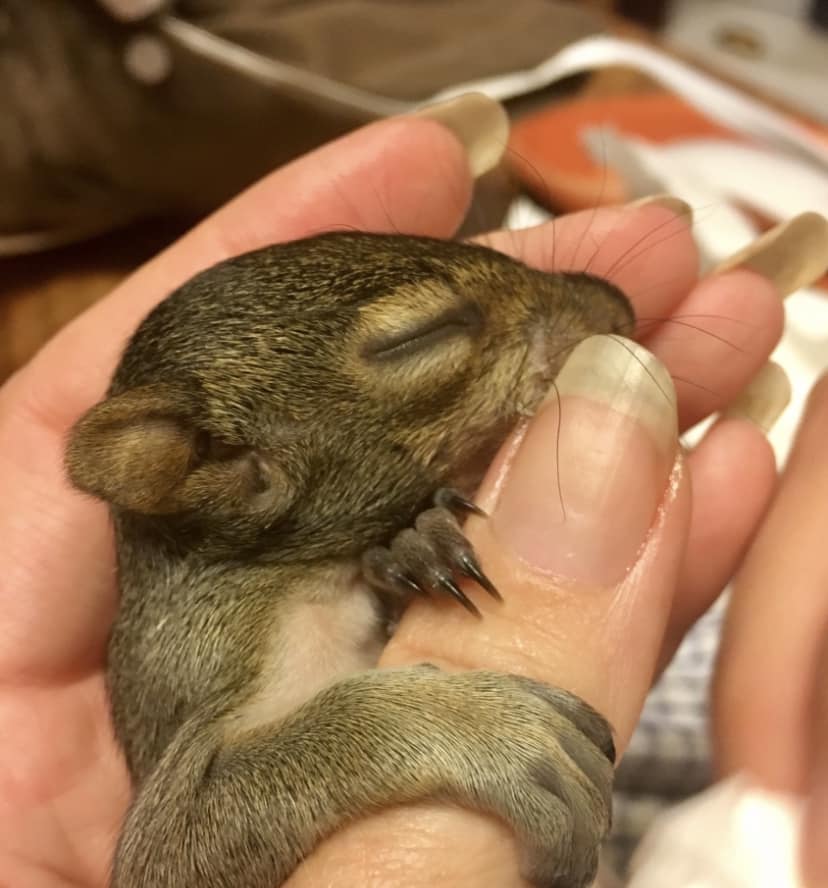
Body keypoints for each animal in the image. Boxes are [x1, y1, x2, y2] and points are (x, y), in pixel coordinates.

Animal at [66, 231, 634, 888]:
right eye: (416, 337)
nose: (617, 305)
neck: (298, 576)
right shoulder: (209, 676)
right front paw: (487, 727)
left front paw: (417, 544)